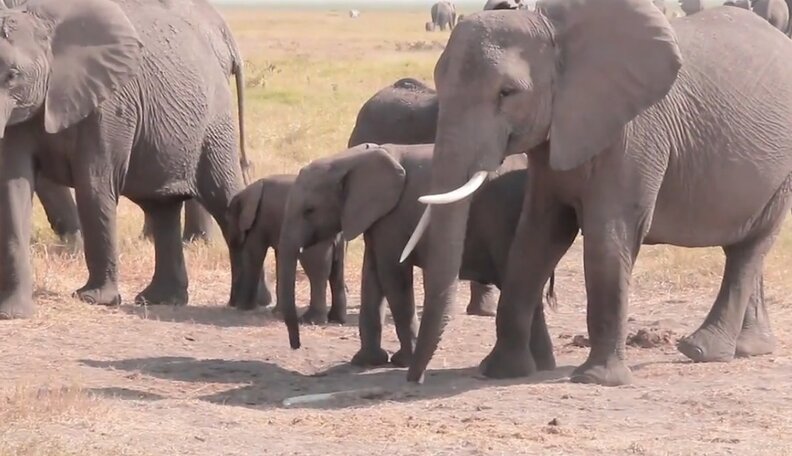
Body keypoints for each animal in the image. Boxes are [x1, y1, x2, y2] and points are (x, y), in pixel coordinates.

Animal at [0, 0, 248, 318]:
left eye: (13, 76)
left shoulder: (111, 104)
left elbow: (94, 185)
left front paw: (93, 299)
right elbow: (13, 189)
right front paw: (12, 313)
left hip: (214, 120)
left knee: (222, 195)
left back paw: (248, 301)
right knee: (162, 206)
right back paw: (160, 299)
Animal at [225, 175, 347, 323]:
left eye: (229, 220)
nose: (231, 304)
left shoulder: (259, 221)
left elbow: (254, 254)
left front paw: (243, 308)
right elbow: (280, 257)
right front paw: (277, 312)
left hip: (317, 240)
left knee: (317, 273)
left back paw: (310, 320)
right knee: (337, 271)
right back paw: (337, 319)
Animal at [276, 143, 555, 368]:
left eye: (309, 210)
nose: (296, 345)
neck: (351, 159)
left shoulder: (393, 217)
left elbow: (393, 277)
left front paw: (402, 362)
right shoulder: (377, 219)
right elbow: (373, 278)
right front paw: (367, 362)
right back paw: (542, 366)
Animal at [400, 2, 792, 386]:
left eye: (506, 93)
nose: (414, 380)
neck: (554, 29)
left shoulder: (634, 133)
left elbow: (607, 238)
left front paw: (597, 379)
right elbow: (536, 237)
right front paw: (500, 371)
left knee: (750, 247)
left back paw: (701, 350)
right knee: (743, 245)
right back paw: (750, 347)